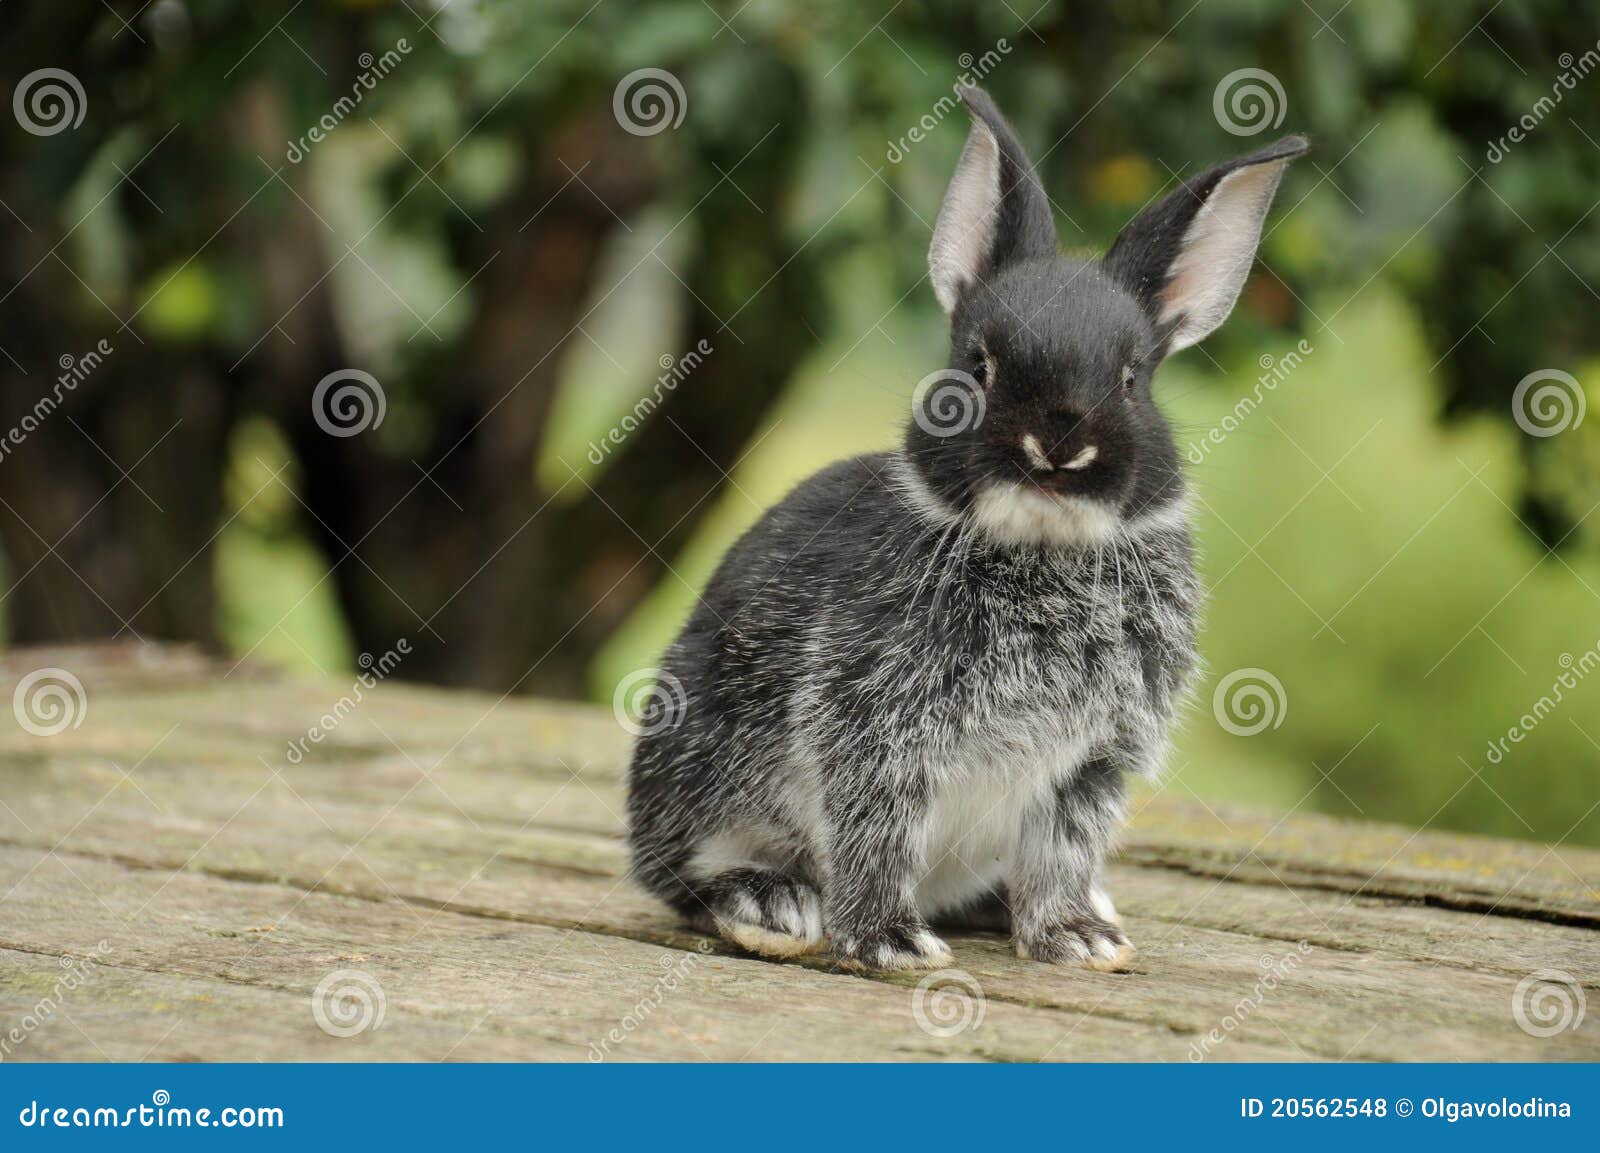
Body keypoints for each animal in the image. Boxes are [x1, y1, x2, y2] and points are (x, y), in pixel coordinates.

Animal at [626, 85, 1306, 971]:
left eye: (1132, 380)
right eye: (978, 365)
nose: (1058, 443)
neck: (1042, 546)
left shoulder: (1089, 767)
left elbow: (1061, 850)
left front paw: (1076, 938)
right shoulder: (877, 732)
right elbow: (875, 830)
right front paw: (889, 941)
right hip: (695, 773)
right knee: (685, 877)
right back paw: (770, 904)